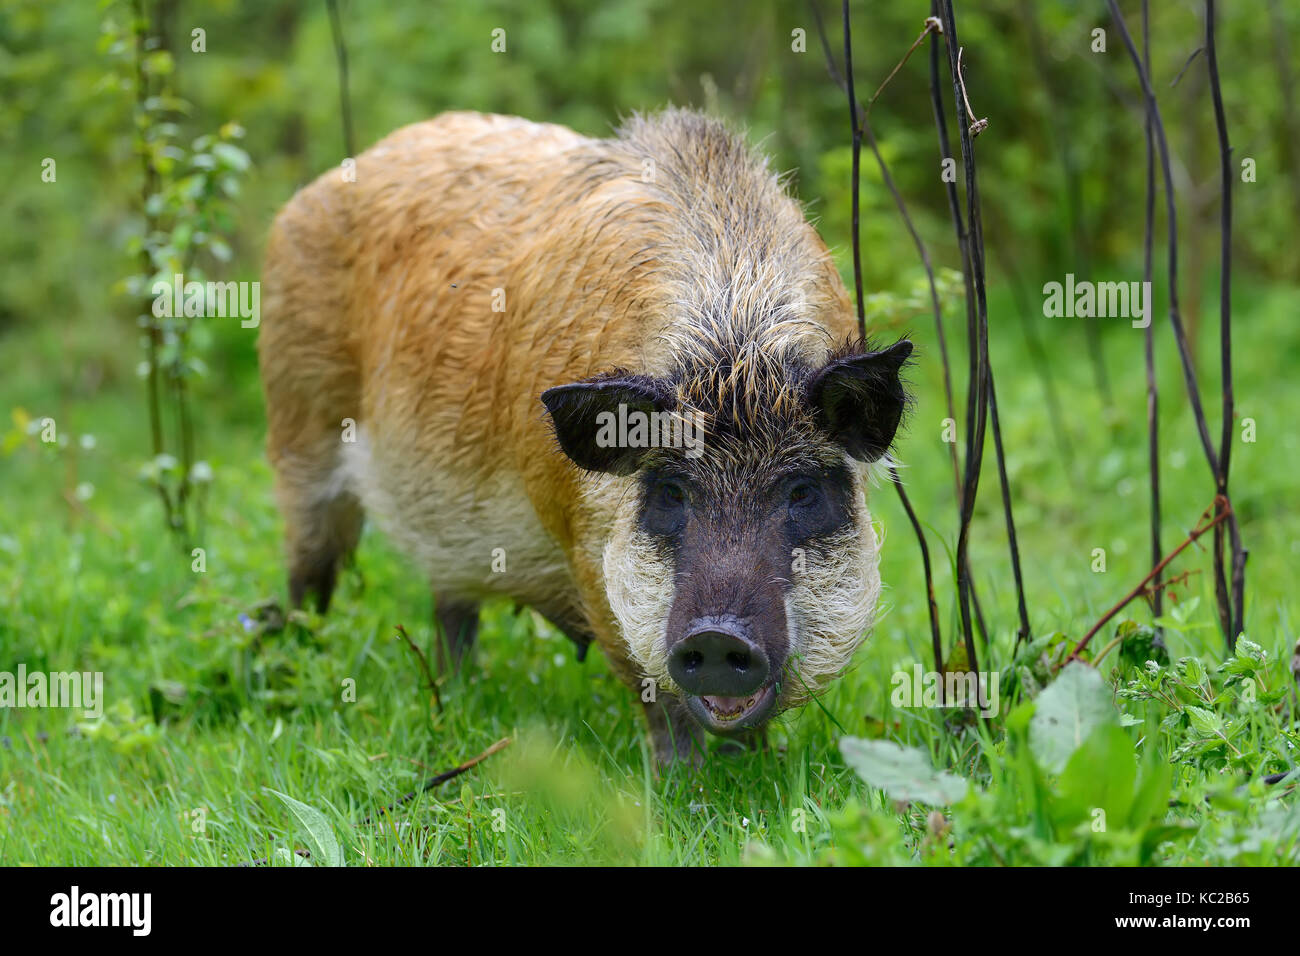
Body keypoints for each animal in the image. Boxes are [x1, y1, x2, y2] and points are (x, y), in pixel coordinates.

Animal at [258, 109, 911, 762]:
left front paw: (751, 768)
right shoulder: (583, 548)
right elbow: (654, 692)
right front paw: (682, 779)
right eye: (671, 492)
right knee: (309, 569)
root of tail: (311, 194)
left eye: (802, 492)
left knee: (450, 605)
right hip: (298, 423)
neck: (736, 355)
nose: (719, 637)